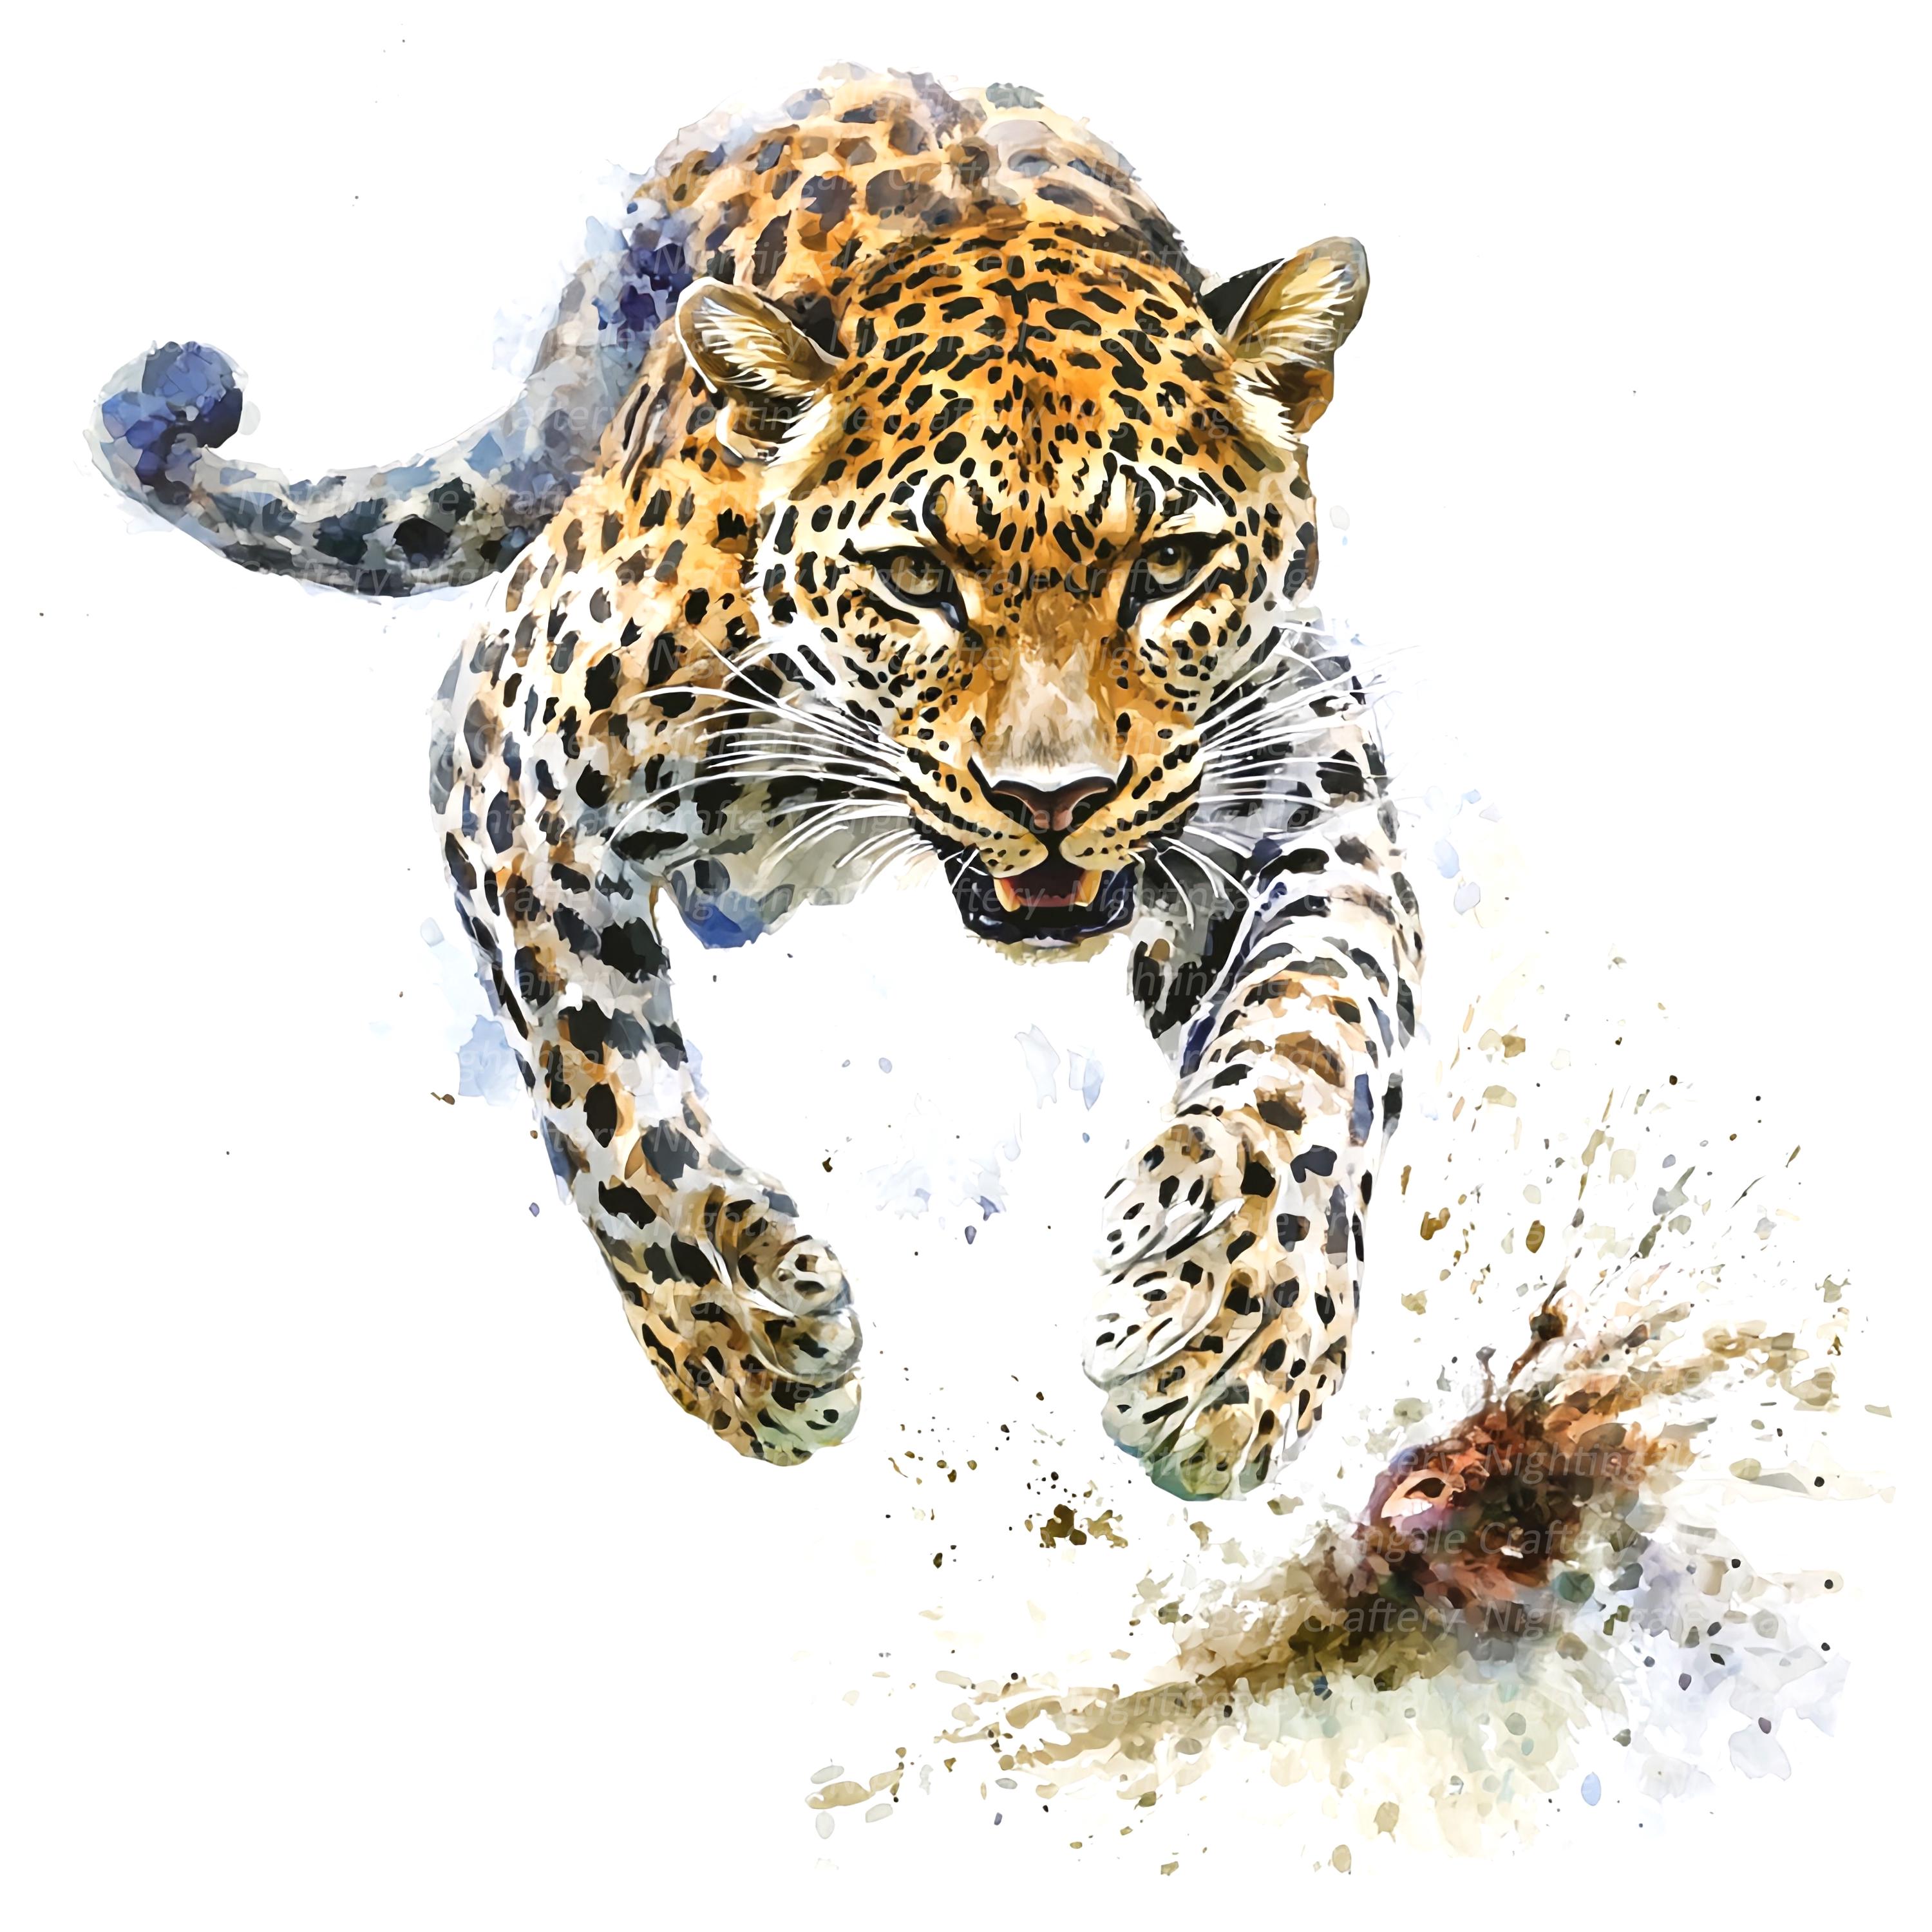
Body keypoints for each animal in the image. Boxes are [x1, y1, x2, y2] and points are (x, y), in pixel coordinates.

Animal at [91, 67, 1422, 1500]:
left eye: (1166, 564)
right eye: (917, 577)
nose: (1051, 799)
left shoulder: (1308, 770)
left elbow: (1324, 1020)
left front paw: (1234, 1319)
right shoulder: (508, 740)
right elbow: (599, 1079)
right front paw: (743, 1336)